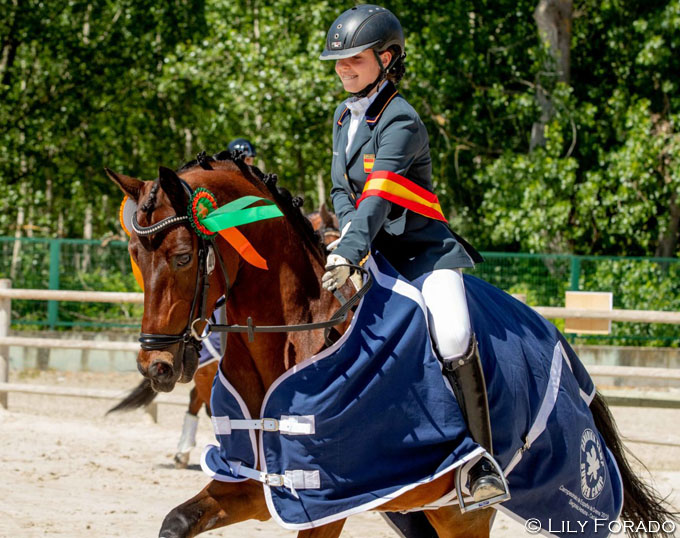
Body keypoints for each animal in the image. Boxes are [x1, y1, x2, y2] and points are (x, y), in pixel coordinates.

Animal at [105, 152, 676, 538]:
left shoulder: (326, 500)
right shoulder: (257, 486)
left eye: (183, 256)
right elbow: (176, 521)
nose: (156, 364)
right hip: (420, 507)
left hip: (470, 510)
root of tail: (560, 342)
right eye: (134, 252)